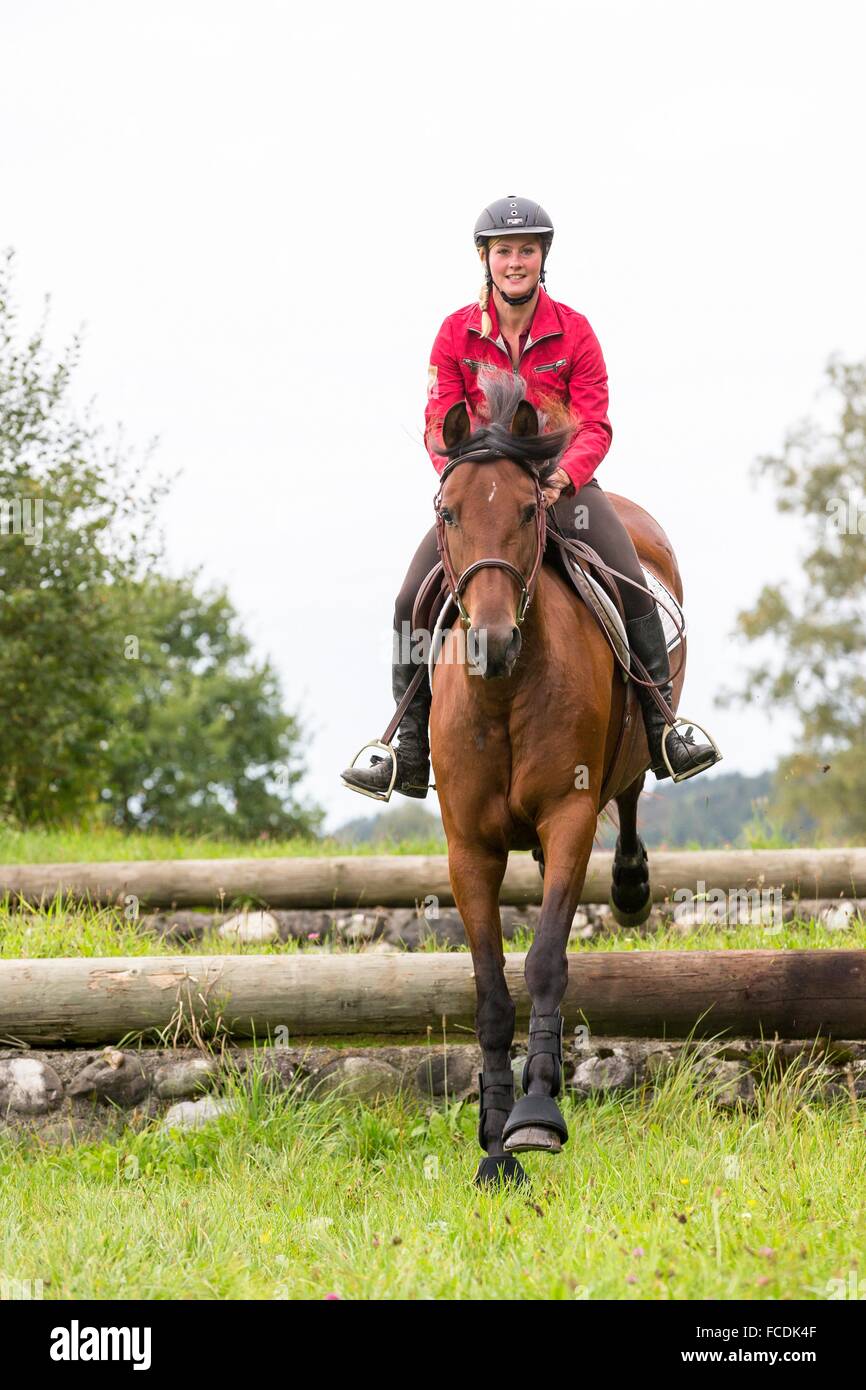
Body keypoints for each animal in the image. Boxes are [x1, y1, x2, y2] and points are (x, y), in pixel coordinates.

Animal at [428, 376, 686, 1188]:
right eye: (449, 512)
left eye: (527, 510)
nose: (492, 642)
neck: (505, 693)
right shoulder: (468, 848)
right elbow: (488, 986)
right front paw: (491, 1132)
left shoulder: (568, 814)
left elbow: (544, 961)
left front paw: (536, 1113)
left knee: (631, 790)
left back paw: (632, 884)